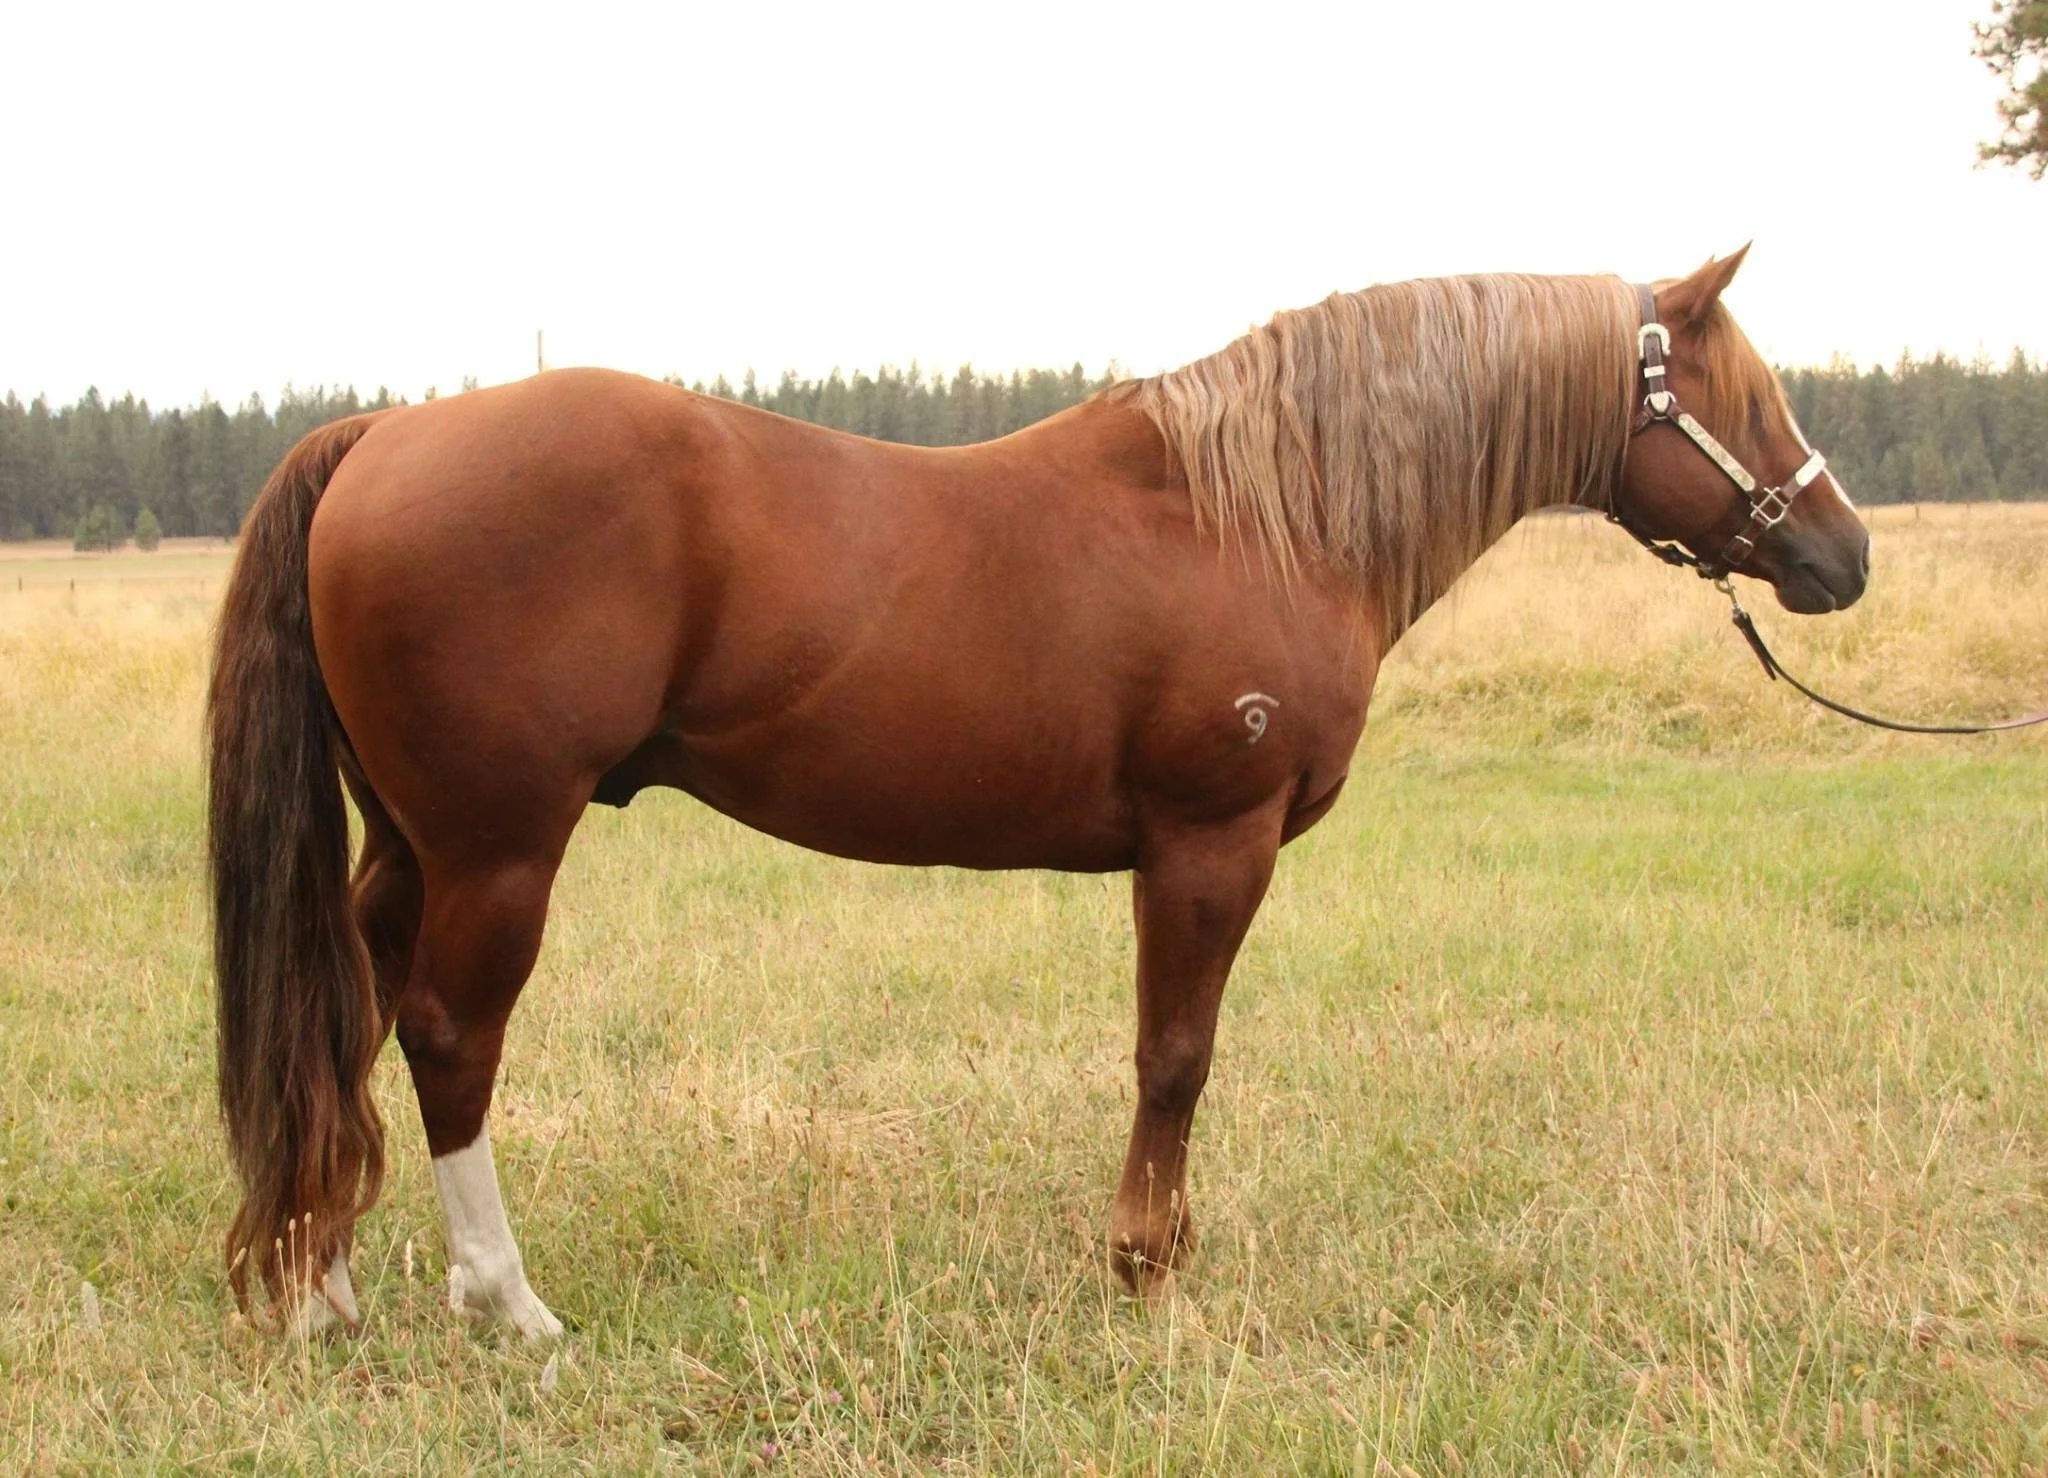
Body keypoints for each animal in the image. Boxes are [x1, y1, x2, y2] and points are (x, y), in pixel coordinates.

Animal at [207, 248, 1870, 1337]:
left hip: (412, 841)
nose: (1841, 554)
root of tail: (387, 431)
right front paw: (1145, 1265)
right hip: (499, 844)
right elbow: (1175, 1056)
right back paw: (507, 1303)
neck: (1263, 513)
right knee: (445, 1034)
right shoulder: (1210, 841)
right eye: (1739, 390)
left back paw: (320, 1282)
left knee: (346, 1001)